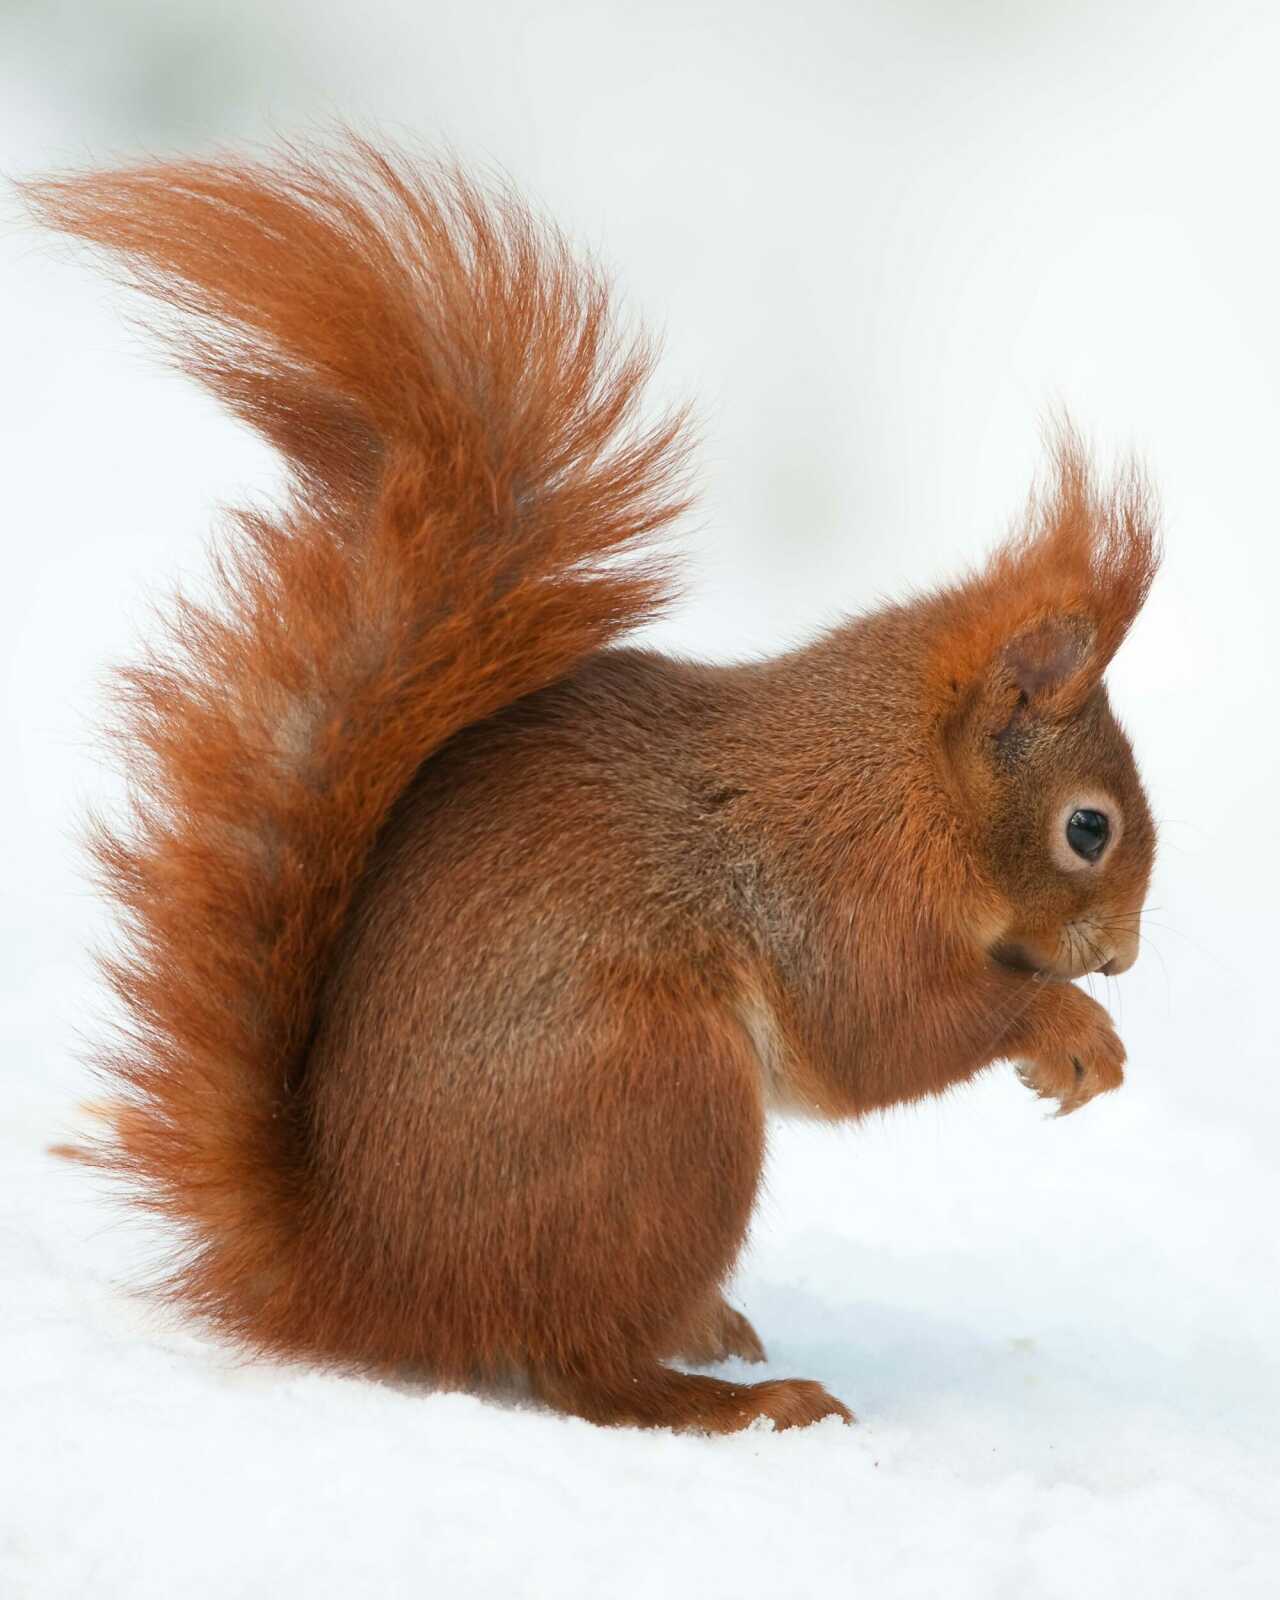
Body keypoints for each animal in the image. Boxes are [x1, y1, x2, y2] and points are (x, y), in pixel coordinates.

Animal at [27, 137, 1159, 1435]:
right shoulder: (839, 885)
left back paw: (709, 1331)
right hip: (656, 1096)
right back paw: (728, 1398)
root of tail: (367, 1281)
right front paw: (1066, 1030)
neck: (897, 775)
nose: (1121, 958)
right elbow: (879, 1033)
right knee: (582, 1370)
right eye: (1087, 829)